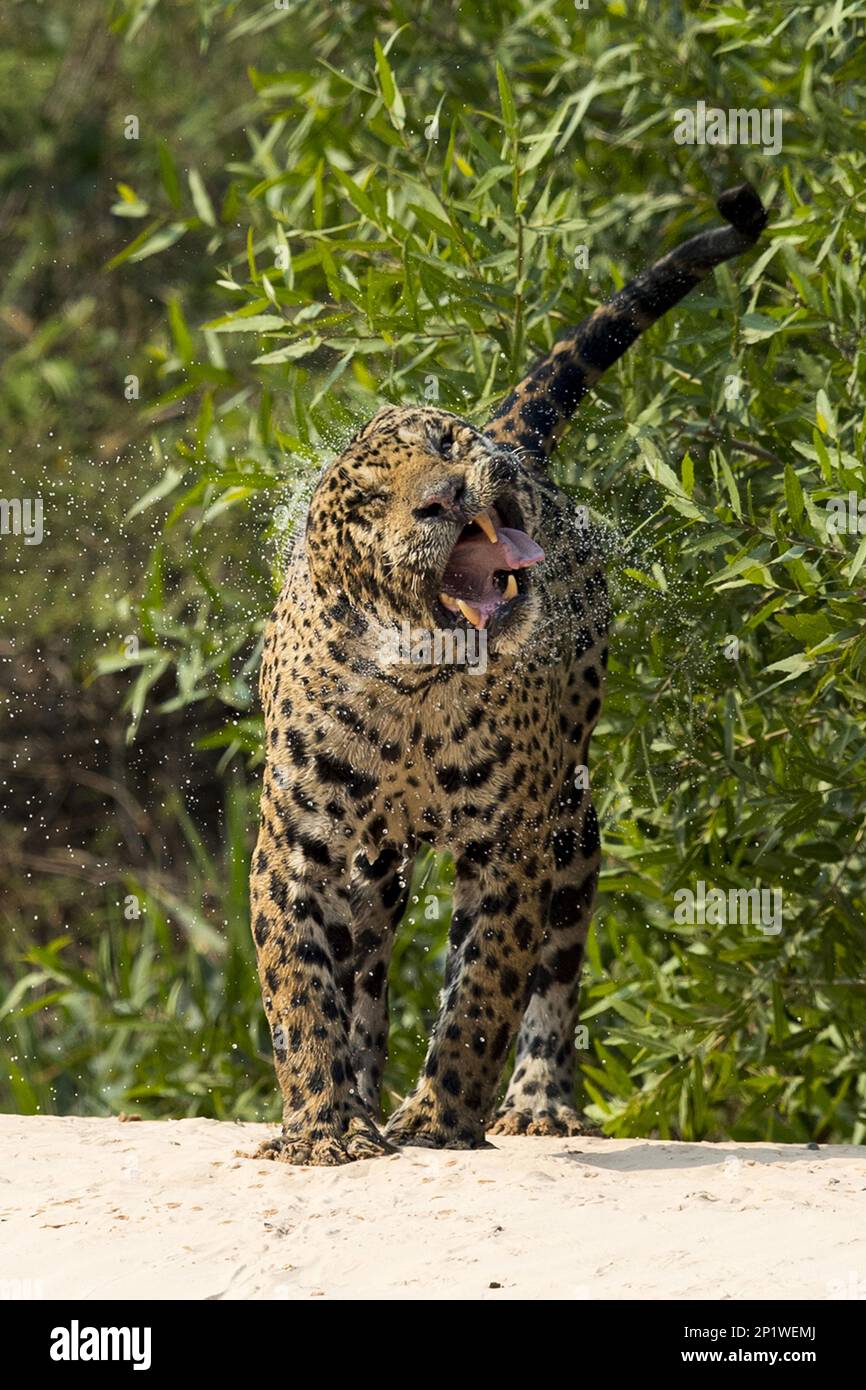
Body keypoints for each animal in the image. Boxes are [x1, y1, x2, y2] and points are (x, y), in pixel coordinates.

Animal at [249, 183, 767, 1164]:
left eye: (443, 444)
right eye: (371, 505)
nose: (446, 495)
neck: (415, 686)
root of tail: (510, 429)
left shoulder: (510, 841)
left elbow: (483, 987)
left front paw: (438, 1117)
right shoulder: (299, 846)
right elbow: (301, 989)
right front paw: (326, 1125)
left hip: (569, 821)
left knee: (554, 972)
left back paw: (535, 1104)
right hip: (377, 871)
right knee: (365, 976)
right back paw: (364, 1091)